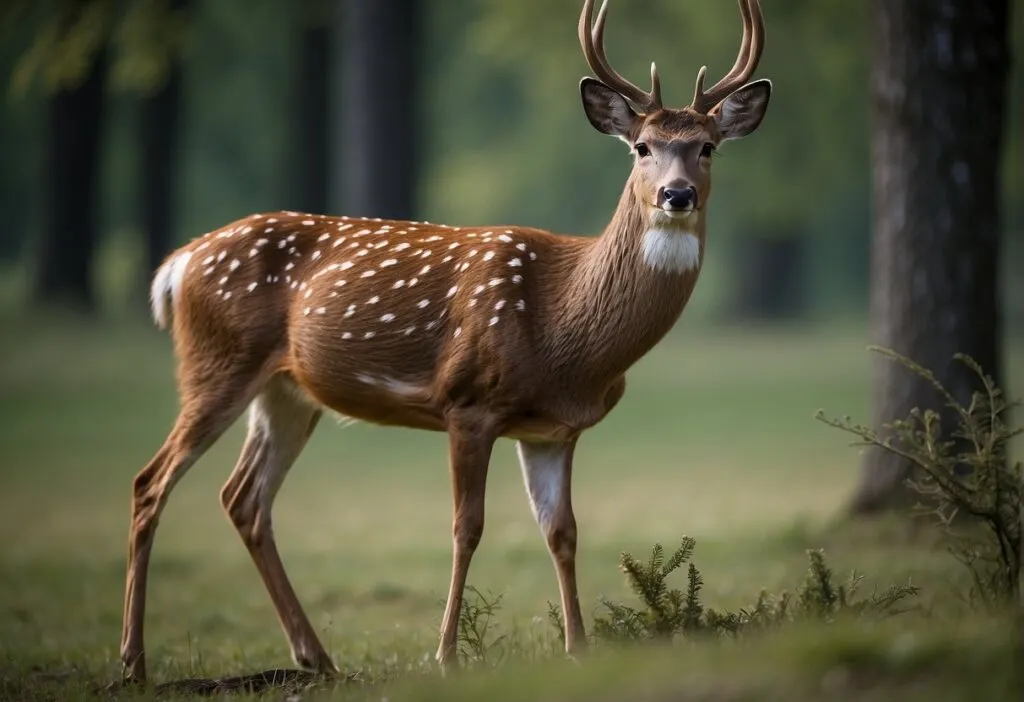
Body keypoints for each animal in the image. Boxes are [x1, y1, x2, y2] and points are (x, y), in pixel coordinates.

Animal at [123, 0, 770, 684]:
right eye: (642, 147)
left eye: (707, 147)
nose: (677, 194)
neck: (564, 328)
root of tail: (178, 264)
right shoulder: (468, 401)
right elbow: (467, 527)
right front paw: (446, 656)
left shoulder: (553, 430)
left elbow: (562, 531)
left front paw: (577, 648)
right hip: (216, 361)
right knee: (150, 483)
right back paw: (134, 662)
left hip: (286, 391)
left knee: (243, 498)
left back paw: (315, 657)